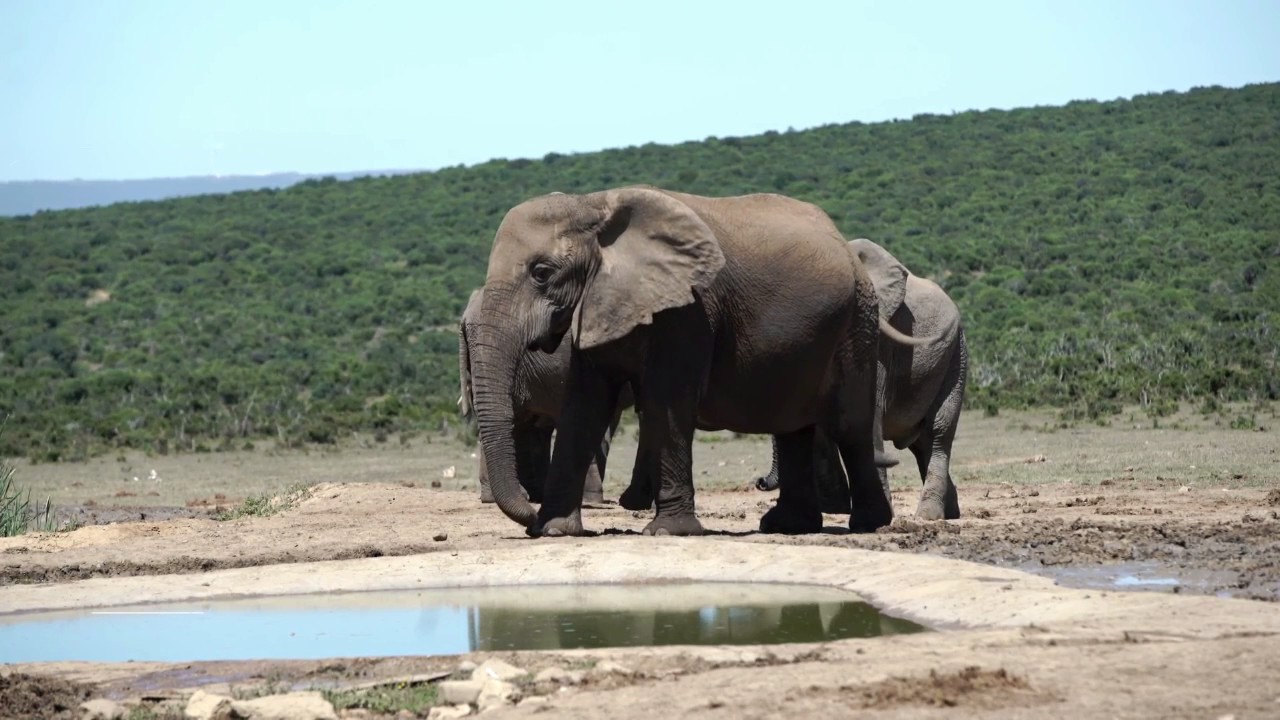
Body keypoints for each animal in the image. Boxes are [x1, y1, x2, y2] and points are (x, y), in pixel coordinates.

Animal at [755, 238, 968, 521]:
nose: (759, 482)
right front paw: (835, 510)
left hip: (957, 355)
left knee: (938, 432)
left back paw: (928, 515)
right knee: (921, 442)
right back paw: (950, 512)